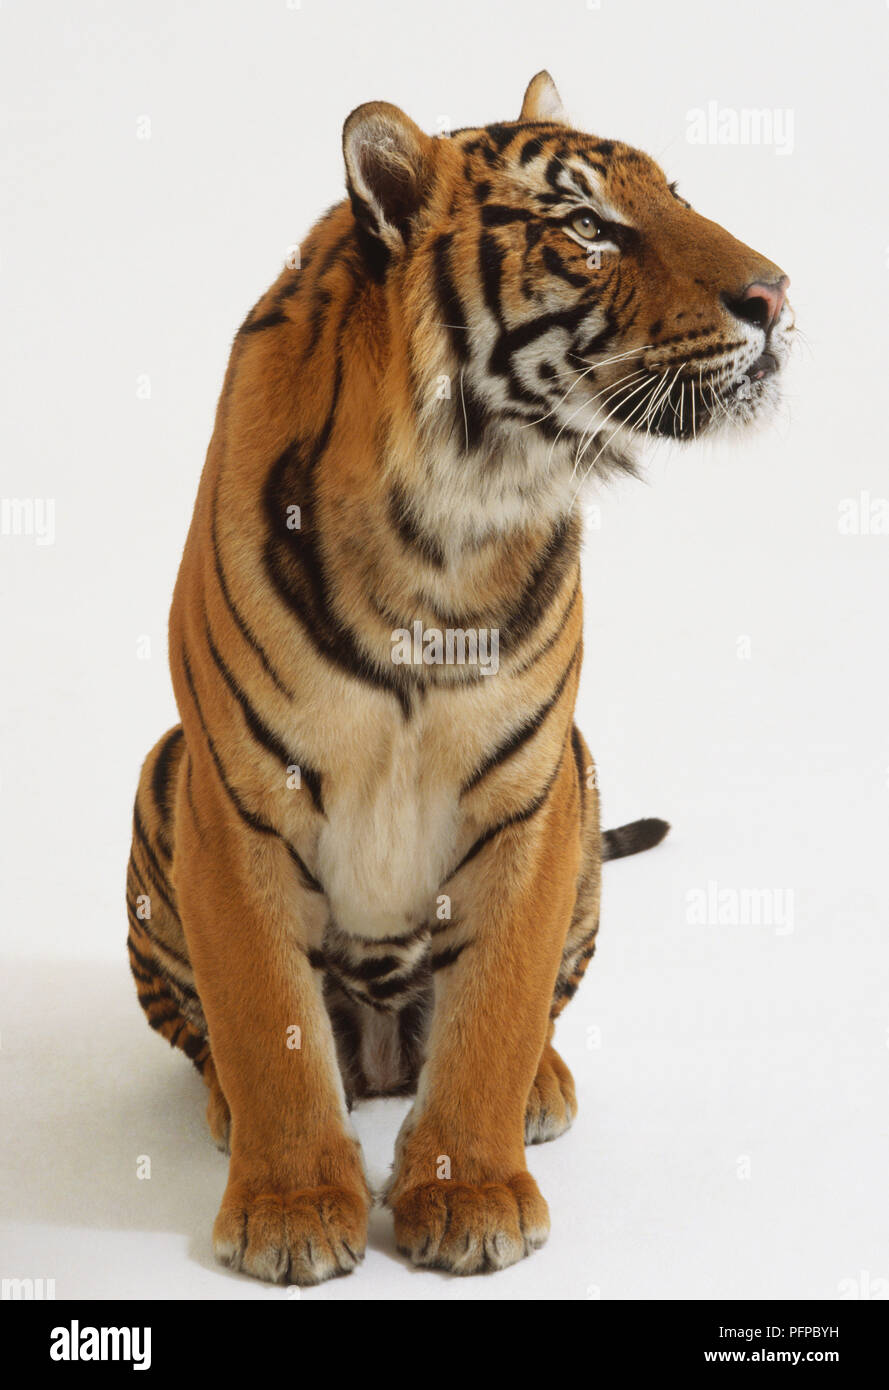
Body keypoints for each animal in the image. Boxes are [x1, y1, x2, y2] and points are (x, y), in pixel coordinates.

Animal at [126, 70, 793, 1285]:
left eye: (675, 198)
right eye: (586, 227)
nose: (773, 293)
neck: (450, 524)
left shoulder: (526, 795)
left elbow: (495, 1013)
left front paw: (472, 1193)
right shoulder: (237, 801)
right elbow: (265, 1022)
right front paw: (292, 1211)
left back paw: (541, 1089)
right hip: (162, 773)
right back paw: (230, 1115)